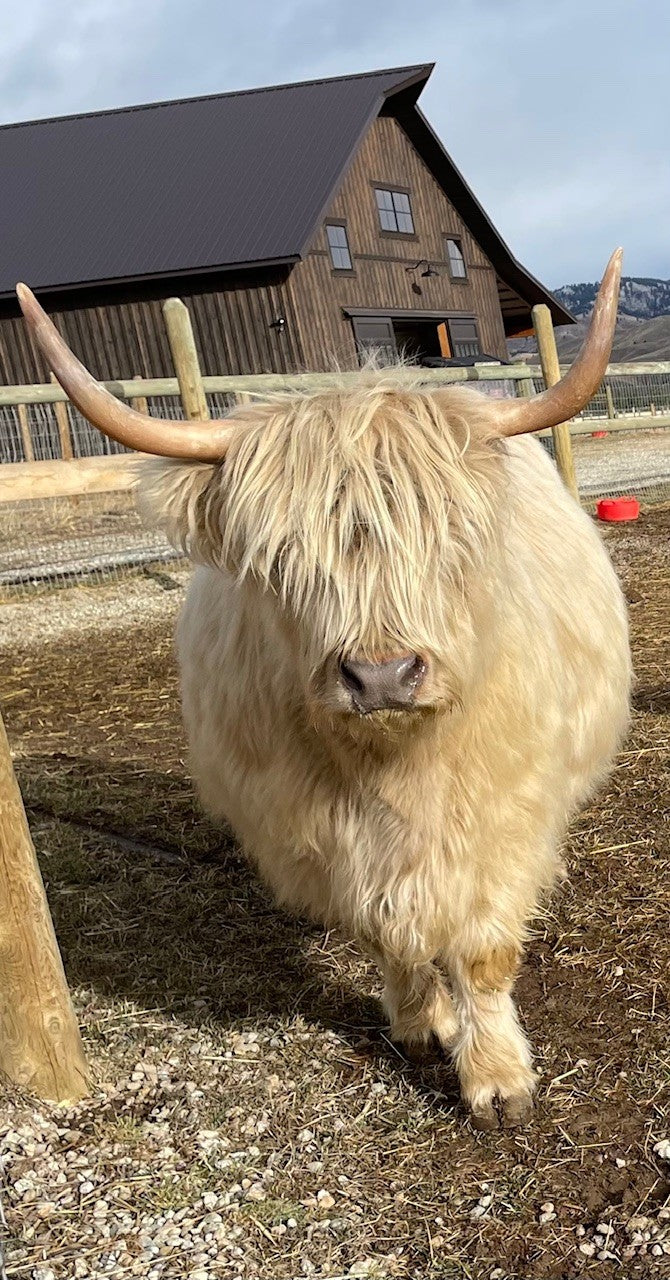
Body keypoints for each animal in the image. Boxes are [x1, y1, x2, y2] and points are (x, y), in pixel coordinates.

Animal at [17, 250, 631, 1129]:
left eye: (447, 538)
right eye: (282, 558)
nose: (381, 675)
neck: (388, 768)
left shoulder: (503, 822)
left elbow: (480, 953)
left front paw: (499, 1082)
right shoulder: (316, 835)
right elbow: (382, 935)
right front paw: (419, 1024)